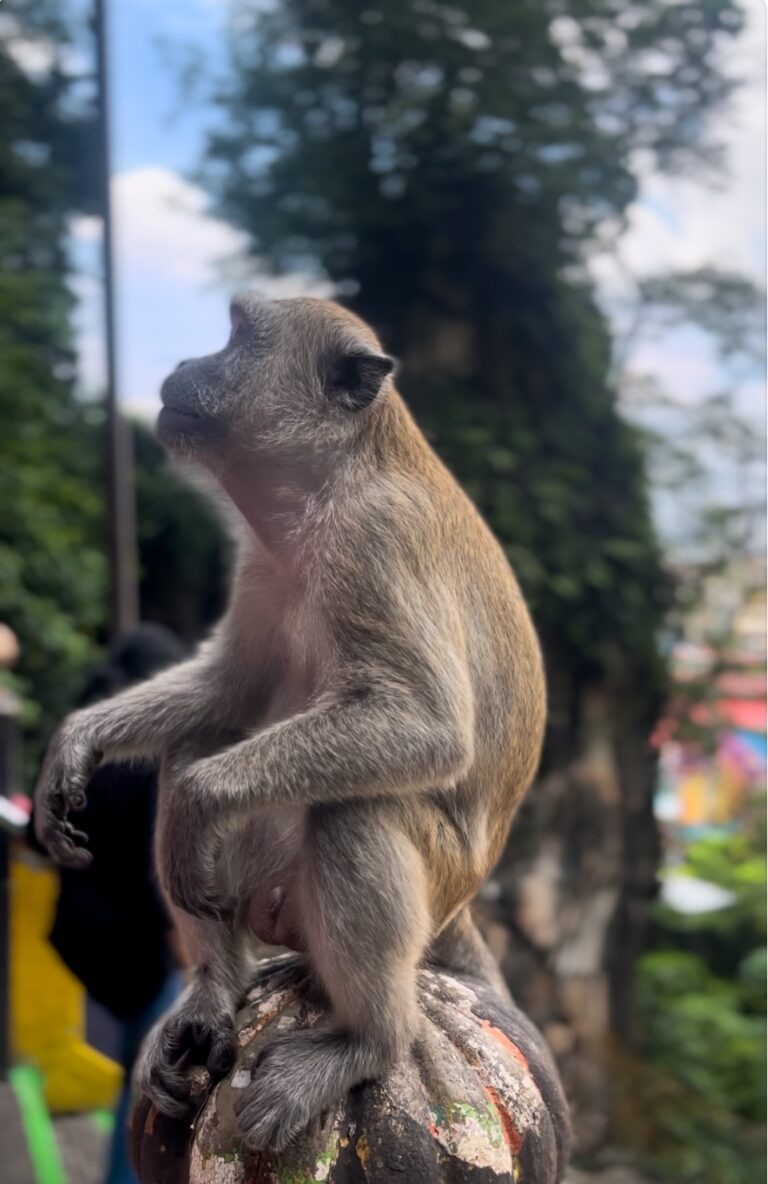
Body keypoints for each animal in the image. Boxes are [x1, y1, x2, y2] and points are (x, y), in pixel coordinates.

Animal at [34, 295, 546, 1152]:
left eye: (239, 335)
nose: (184, 364)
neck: (326, 492)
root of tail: (465, 898)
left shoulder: (376, 540)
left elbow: (425, 722)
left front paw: (197, 805)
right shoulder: (263, 561)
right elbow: (227, 689)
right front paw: (79, 742)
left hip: (430, 882)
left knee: (354, 809)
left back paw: (370, 1041)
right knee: (200, 739)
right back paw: (214, 989)